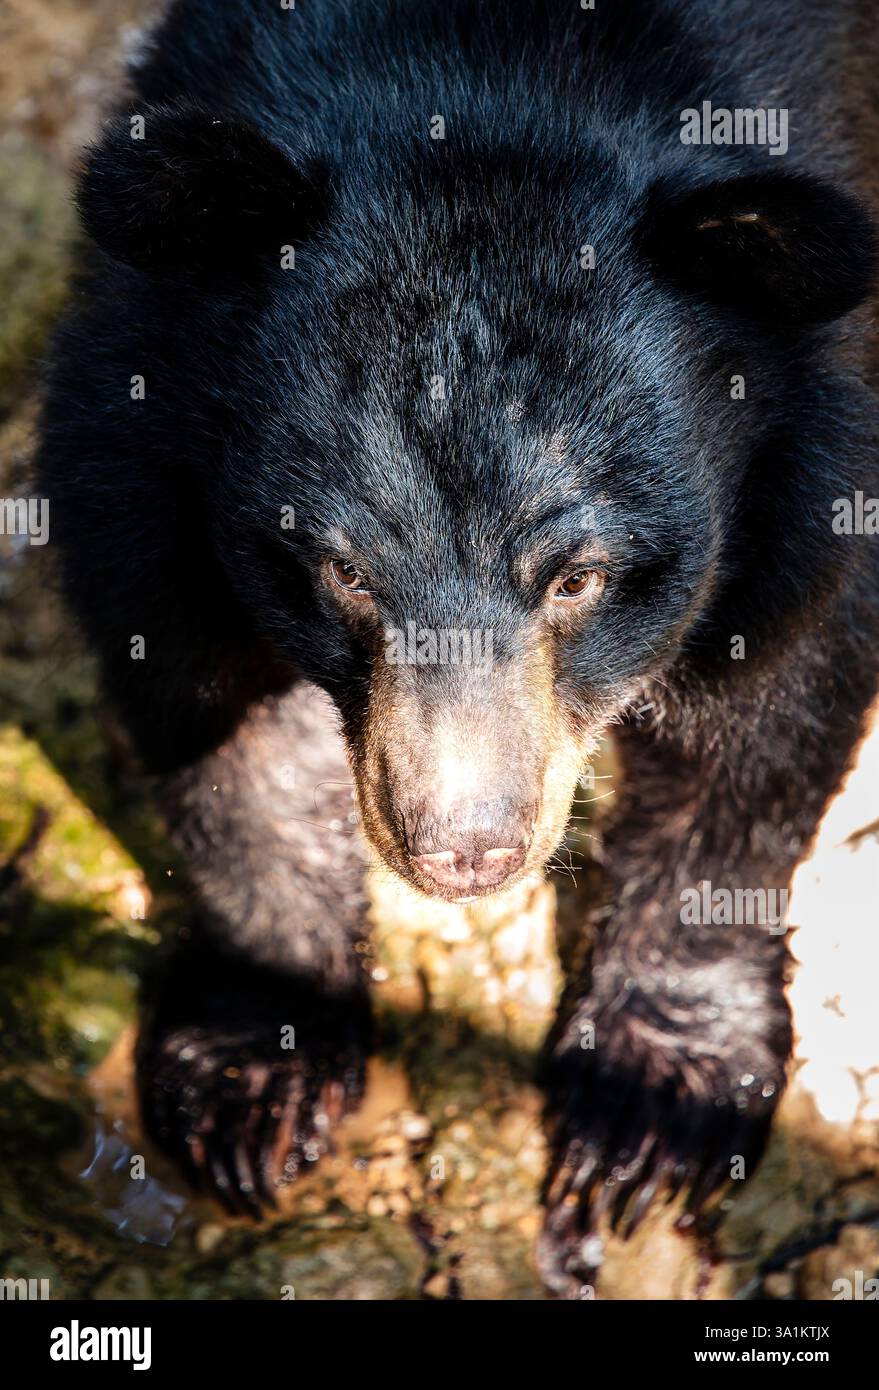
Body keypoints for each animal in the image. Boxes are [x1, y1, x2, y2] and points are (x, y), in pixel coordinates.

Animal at [38, 0, 879, 1298]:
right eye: (345, 573)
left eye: (578, 579)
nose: (465, 850)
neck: (493, 84)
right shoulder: (138, 405)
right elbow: (205, 699)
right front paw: (255, 1076)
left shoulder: (814, 435)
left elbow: (772, 700)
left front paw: (646, 1118)